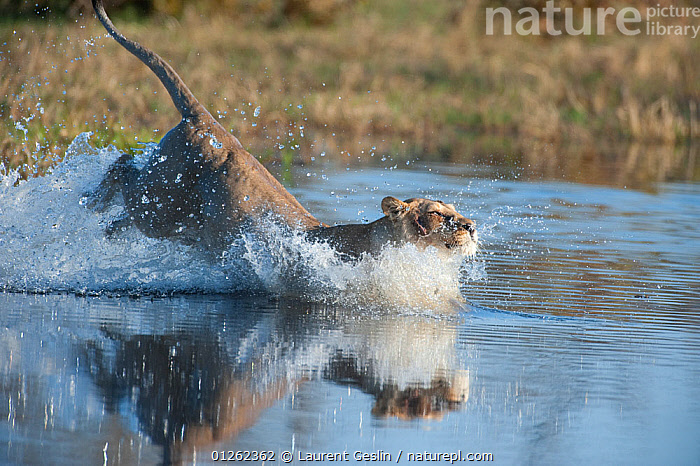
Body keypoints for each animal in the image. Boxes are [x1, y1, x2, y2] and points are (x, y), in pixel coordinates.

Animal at [86, 0, 477, 258]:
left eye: (458, 212)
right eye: (438, 214)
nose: (472, 227)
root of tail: (205, 119)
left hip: (168, 219)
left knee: (123, 209)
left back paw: (107, 233)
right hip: (160, 206)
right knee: (121, 165)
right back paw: (92, 203)